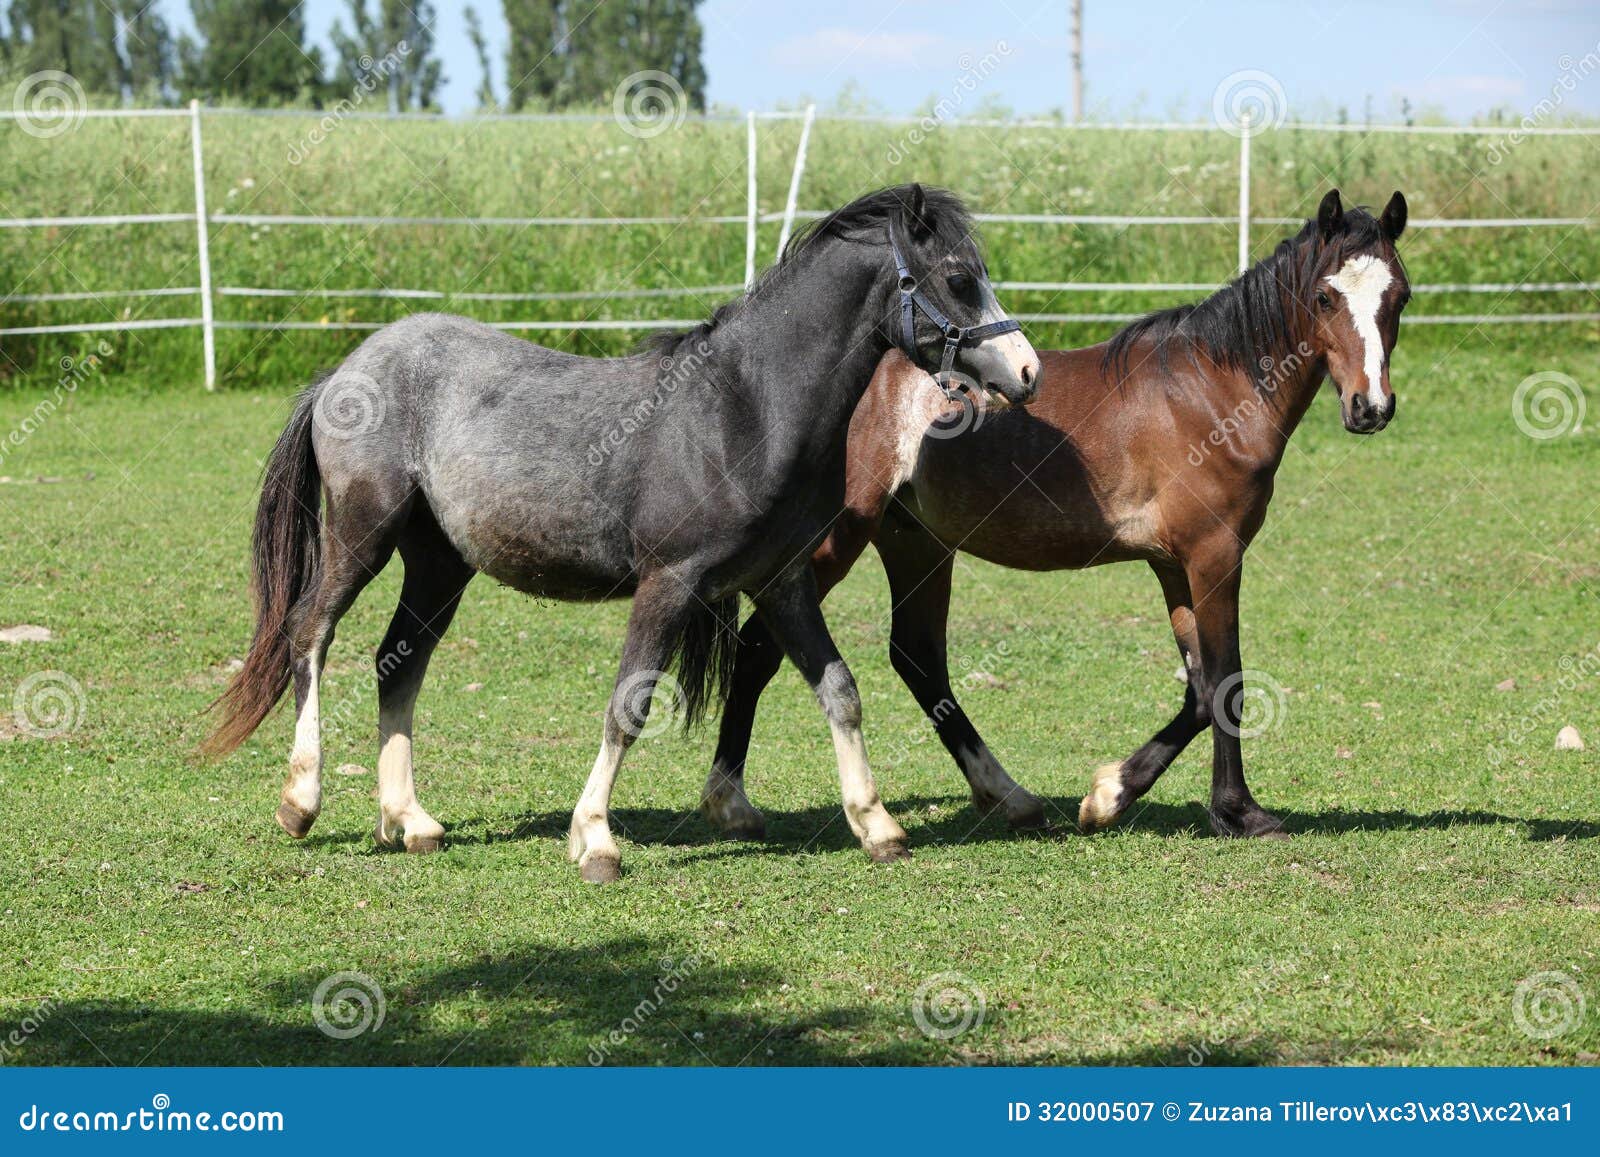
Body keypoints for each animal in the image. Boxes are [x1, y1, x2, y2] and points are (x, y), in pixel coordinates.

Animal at [201, 184, 1041, 883]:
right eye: (959, 277)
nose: (1027, 371)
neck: (741, 408)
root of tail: (345, 370)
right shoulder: (670, 581)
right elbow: (628, 703)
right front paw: (595, 839)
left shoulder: (782, 582)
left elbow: (838, 687)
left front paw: (878, 825)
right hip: (362, 535)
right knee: (311, 632)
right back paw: (301, 800)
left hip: (439, 564)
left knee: (396, 663)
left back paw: (410, 821)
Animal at [701, 188, 1409, 844]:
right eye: (1325, 298)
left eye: (1398, 297)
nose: (1370, 408)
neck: (1211, 394)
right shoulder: (1213, 556)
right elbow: (1225, 682)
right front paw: (1239, 811)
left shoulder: (1174, 565)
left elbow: (1200, 687)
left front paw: (1109, 796)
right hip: (835, 543)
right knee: (765, 646)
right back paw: (733, 803)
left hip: (916, 545)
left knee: (917, 658)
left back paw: (1008, 796)